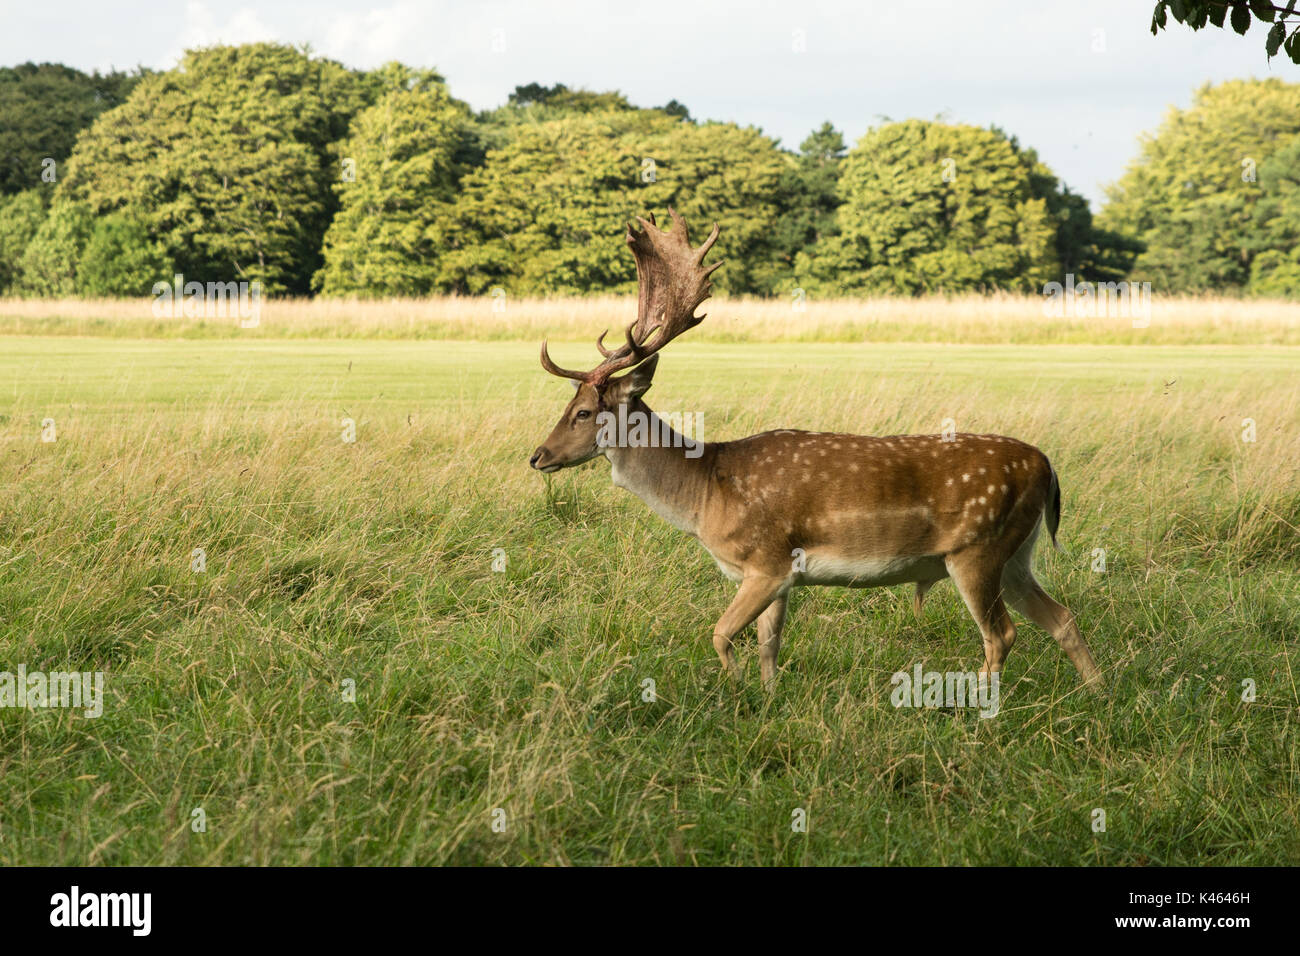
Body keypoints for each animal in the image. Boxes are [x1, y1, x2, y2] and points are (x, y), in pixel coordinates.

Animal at [529, 209, 1102, 693]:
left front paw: (737, 688)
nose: (537, 456)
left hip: (976, 548)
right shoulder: (778, 577)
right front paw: (768, 697)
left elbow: (721, 634)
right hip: (1017, 553)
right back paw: (1096, 692)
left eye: (584, 411)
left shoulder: (766, 561)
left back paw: (978, 710)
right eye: (569, 402)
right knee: (1061, 617)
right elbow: (769, 644)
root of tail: (1047, 467)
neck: (705, 494)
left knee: (1001, 634)